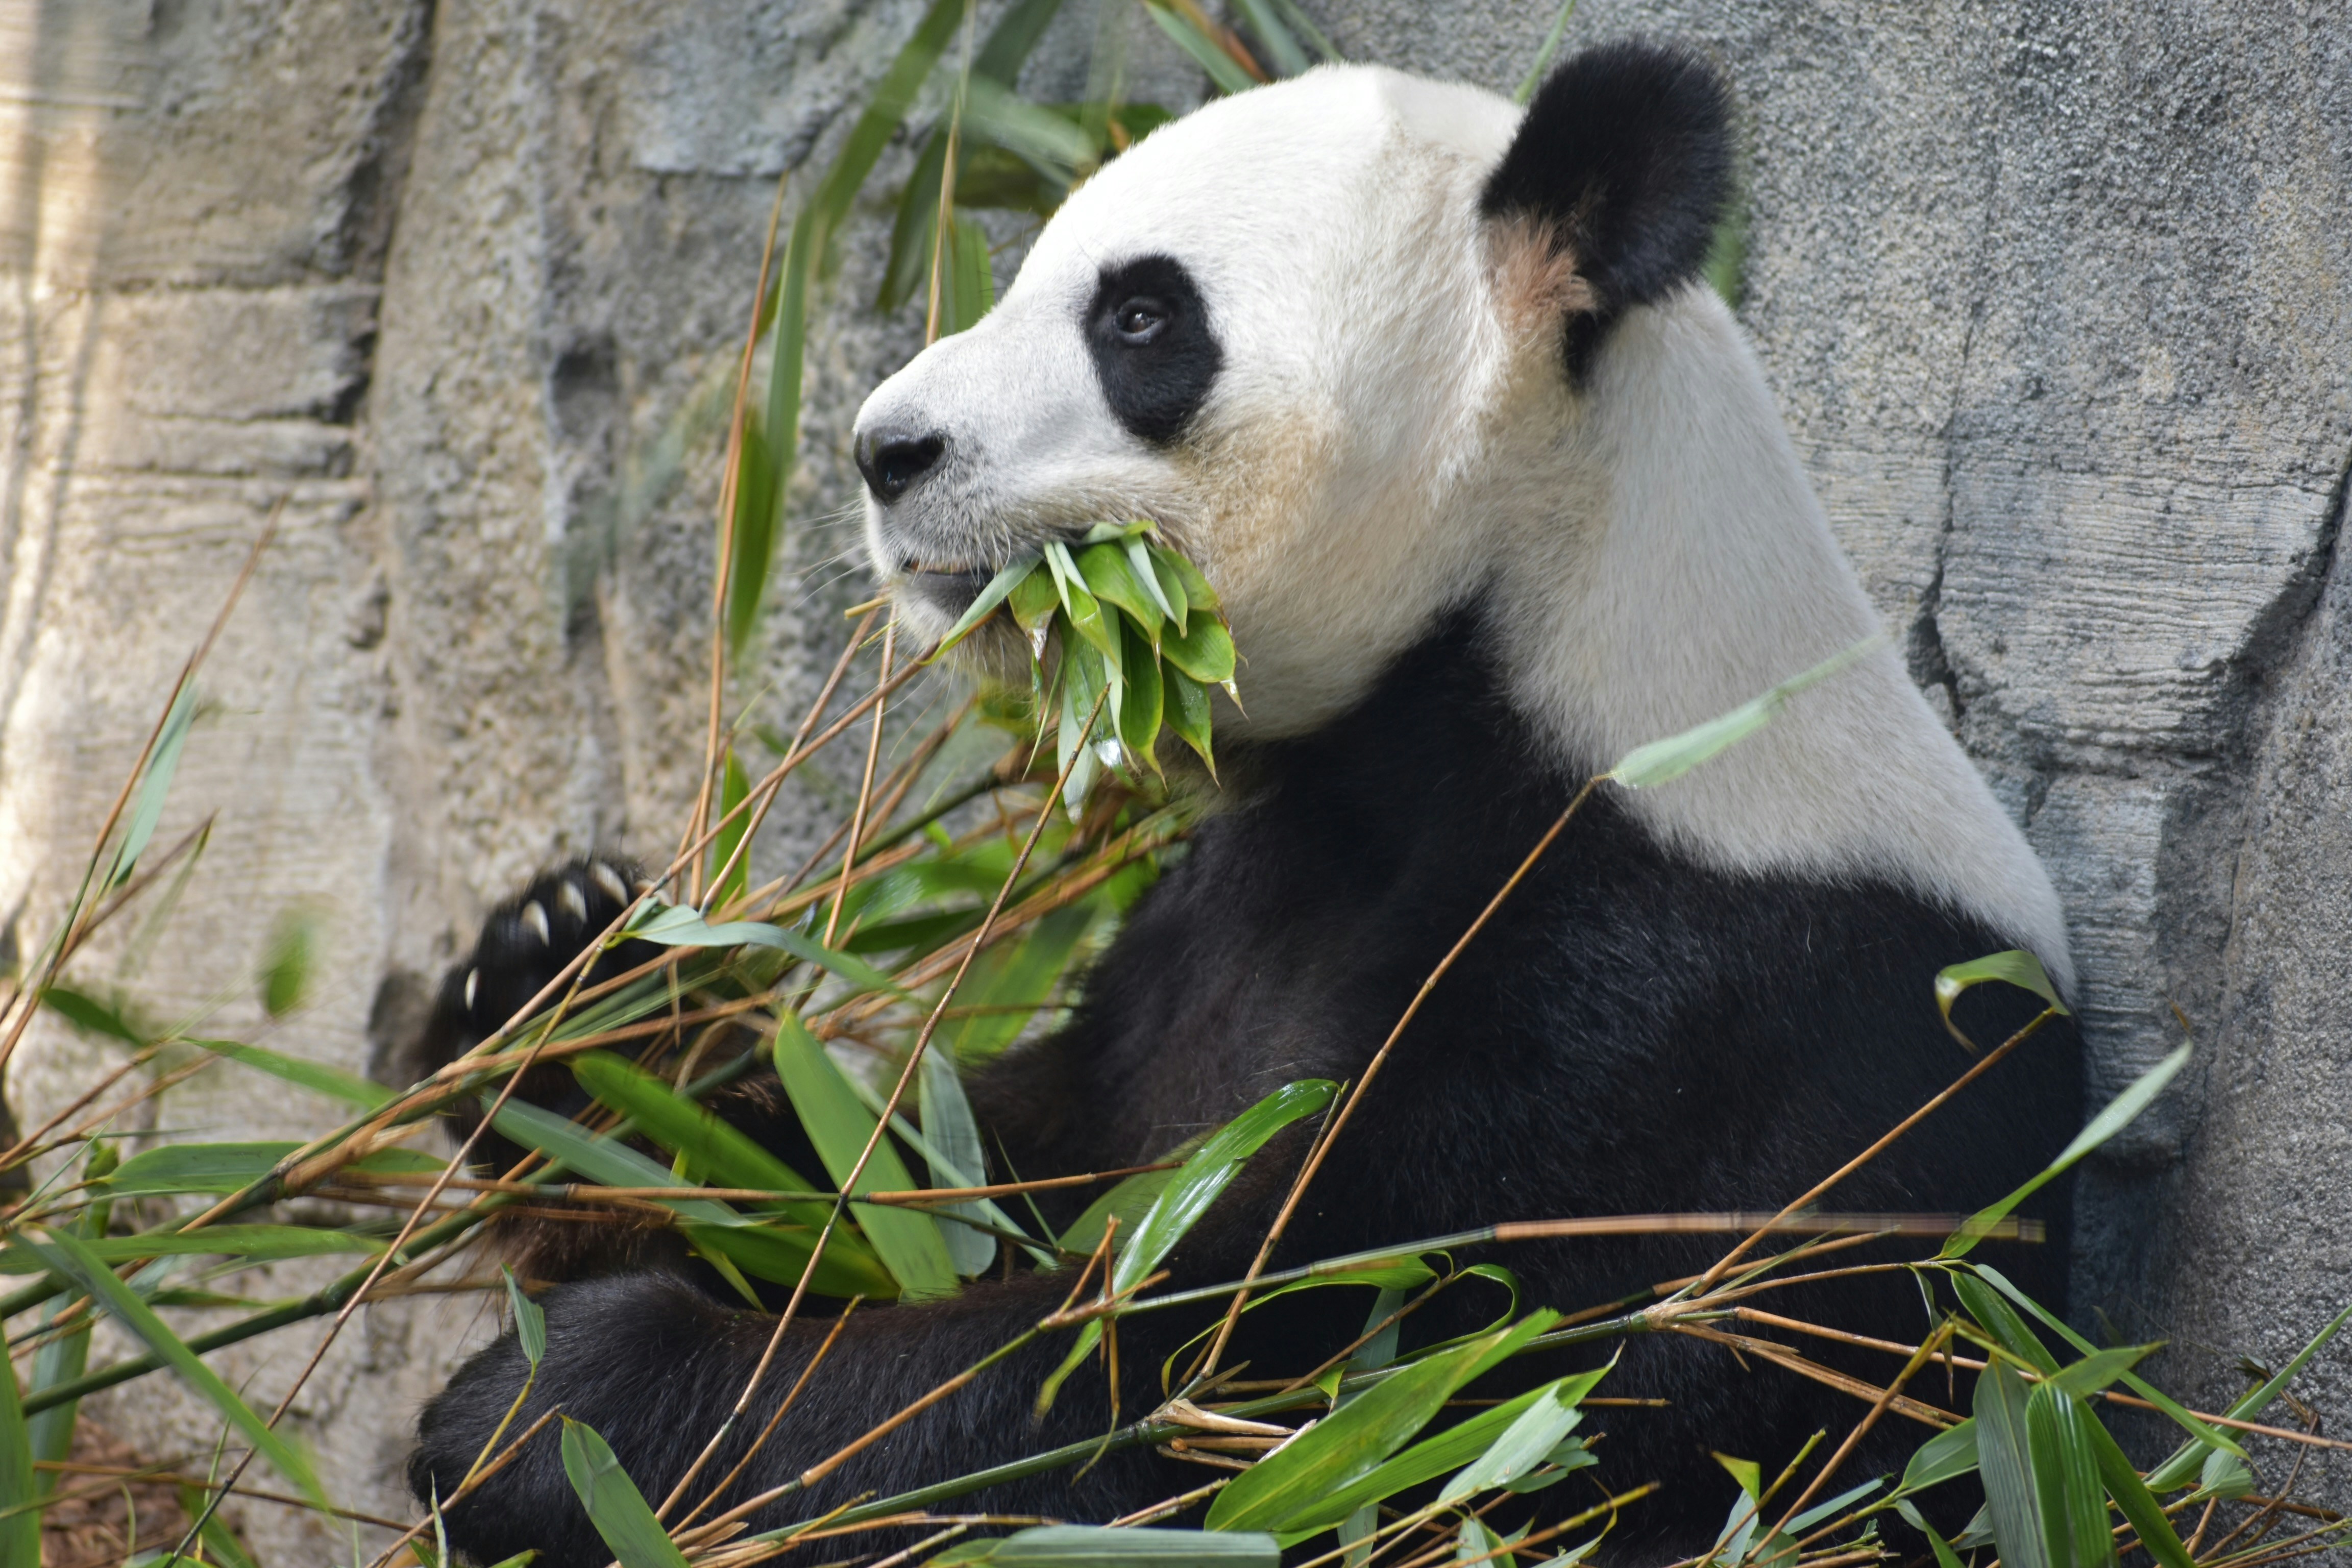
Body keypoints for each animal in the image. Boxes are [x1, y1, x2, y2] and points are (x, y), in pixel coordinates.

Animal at [409, 42, 2081, 1568]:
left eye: (1142, 316)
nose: (885, 451)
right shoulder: (1197, 927)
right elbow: (945, 1161)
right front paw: (574, 992)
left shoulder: (1665, 1014)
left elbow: (1262, 1396)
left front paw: (561, 1406)